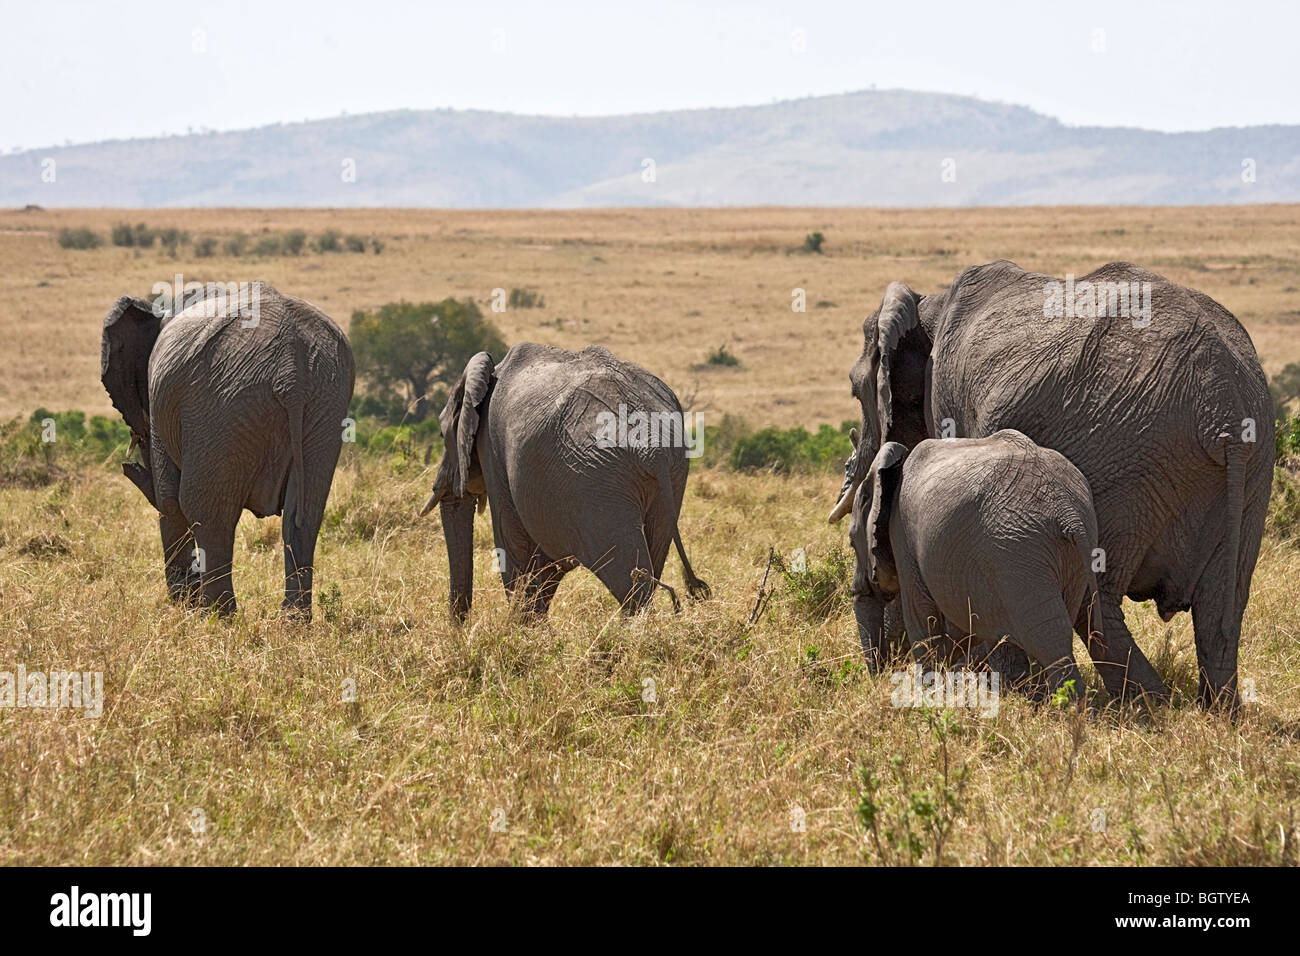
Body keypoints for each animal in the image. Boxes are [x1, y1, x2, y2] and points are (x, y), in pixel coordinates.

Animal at [101, 283, 355, 620]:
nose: (128, 465)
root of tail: (291, 370)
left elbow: (169, 503)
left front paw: (184, 605)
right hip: (324, 404)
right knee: (305, 516)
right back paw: (293, 622)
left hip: (220, 405)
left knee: (207, 512)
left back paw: (216, 616)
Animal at [418, 343, 710, 619]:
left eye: (442, 434)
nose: (460, 626)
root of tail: (651, 449)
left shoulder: (493, 450)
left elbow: (517, 550)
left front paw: (523, 630)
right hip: (667, 477)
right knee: (651, 559)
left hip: (596, 484)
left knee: (630, 580)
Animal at [850, 431, 1161, 701]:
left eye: (852, 542)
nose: (880, 676)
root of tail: (1068, 513)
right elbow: (962, 629)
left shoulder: (903, 538)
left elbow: (923, 624)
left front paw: (929, 696)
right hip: (1060, 560)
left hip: (1018, 552)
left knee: (1050, 639)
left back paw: (1069, 712)